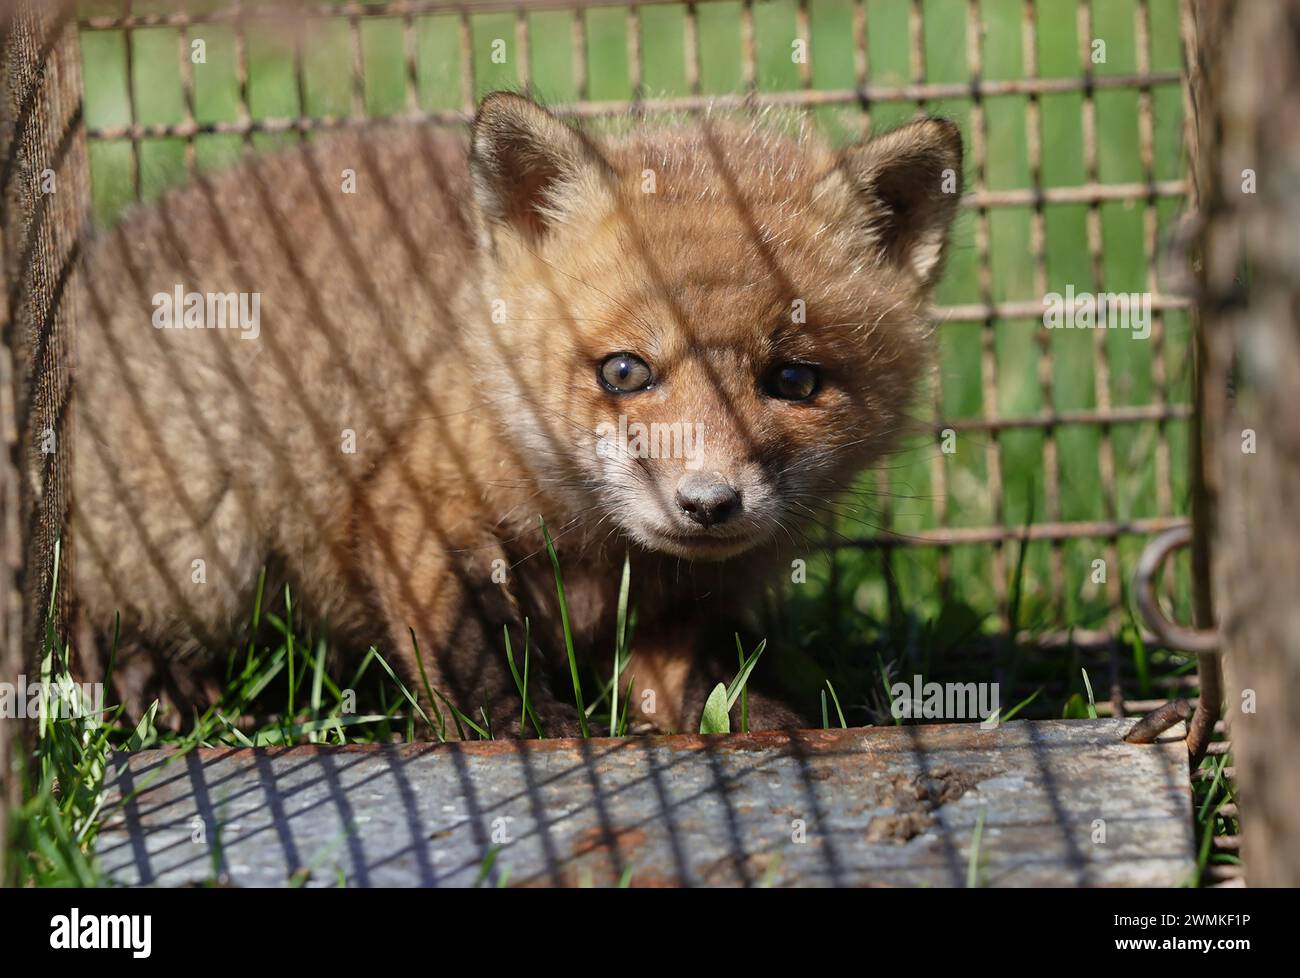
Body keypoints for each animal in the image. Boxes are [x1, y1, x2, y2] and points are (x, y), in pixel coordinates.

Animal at [70, 92, 963, 736]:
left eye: (795, 380)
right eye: (625, 370)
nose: (708, 505)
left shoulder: (683, 604)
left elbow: (709, 682)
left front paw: (772, 721)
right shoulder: (414, 506)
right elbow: (467, 652)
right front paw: (522, 726)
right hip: (198, 544)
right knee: (88, 617)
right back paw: (151, 683)